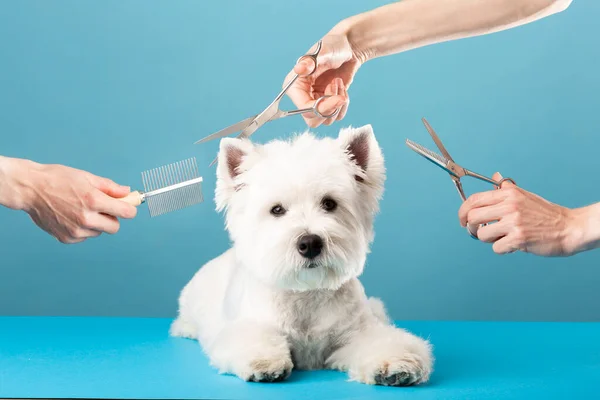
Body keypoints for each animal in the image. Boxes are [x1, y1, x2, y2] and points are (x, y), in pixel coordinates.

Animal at [171, 126, 434, 388]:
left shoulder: (355, 333)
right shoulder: (249, 325)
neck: (306, 295)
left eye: (329, 203)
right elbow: (255, 338)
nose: (310, 244)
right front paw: (264, 361)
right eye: (277, 209)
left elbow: (380, 341)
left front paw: (396, 363)